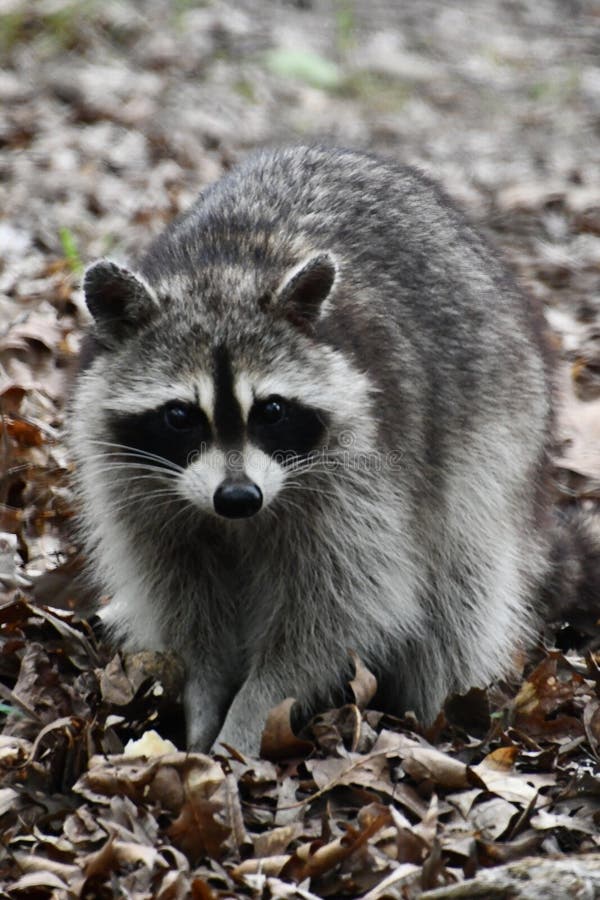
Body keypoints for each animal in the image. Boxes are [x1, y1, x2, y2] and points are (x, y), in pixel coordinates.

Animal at [69, 145, 552, 756]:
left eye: (271, 411)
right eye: (180, 416)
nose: (238, 497)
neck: (222, 272)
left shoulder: (364, 476)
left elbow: (337, 612)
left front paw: (247, 719)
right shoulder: (136, 491)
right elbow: (188, 605)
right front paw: (203, 706)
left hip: (495, 430)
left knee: (461, 582)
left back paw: (434, 711)